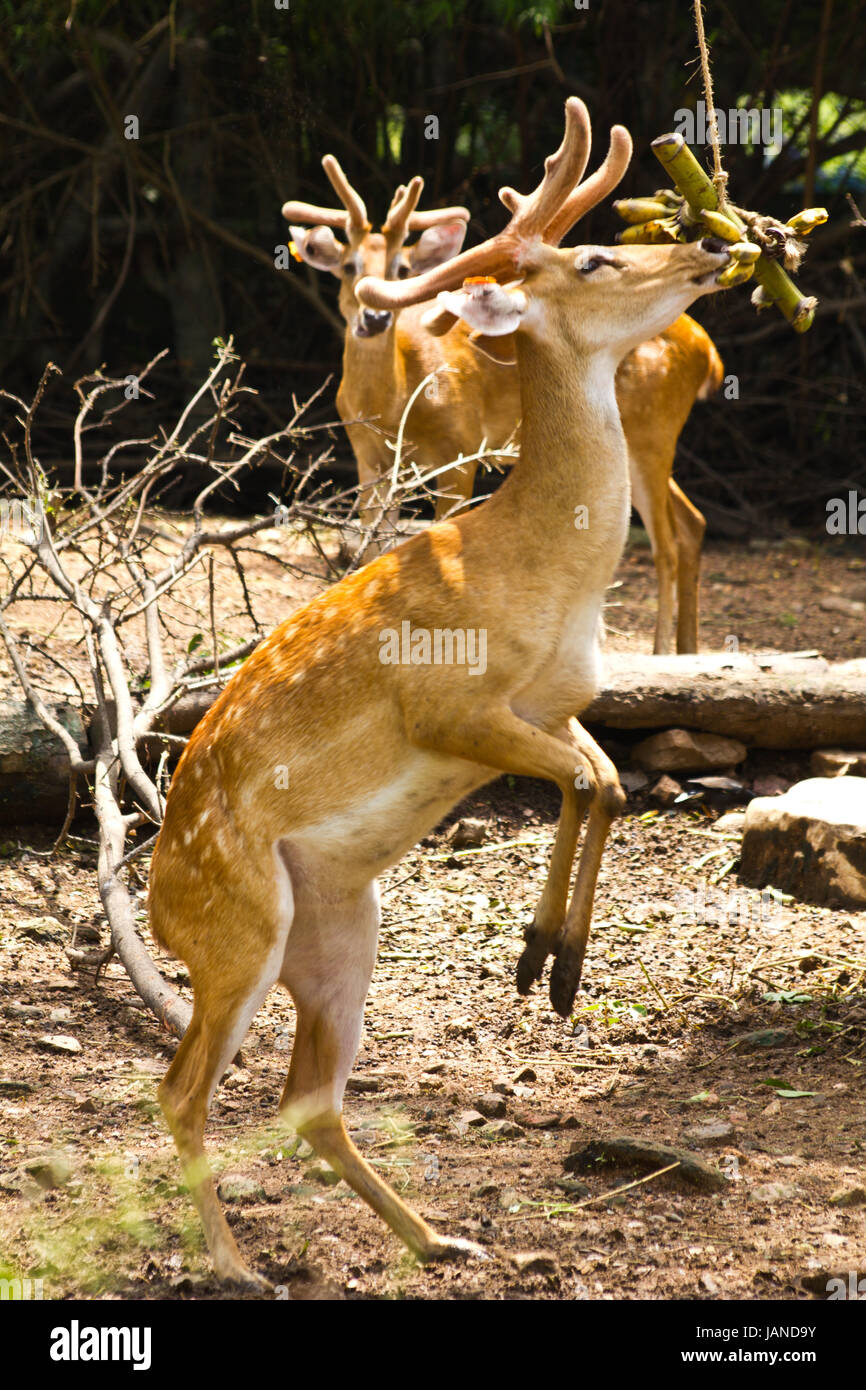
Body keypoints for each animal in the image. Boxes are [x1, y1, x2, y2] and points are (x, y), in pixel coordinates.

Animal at [283, 154, 723, 654]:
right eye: (348, 265)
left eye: (402, 267)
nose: (372, 318)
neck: (394, 404)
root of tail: (709, 353)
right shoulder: (365, 457)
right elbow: (369, 551)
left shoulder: (460, 448)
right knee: (693, 522)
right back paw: (687, 648)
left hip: (654, 431)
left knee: (665, 543)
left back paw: (661, 651)